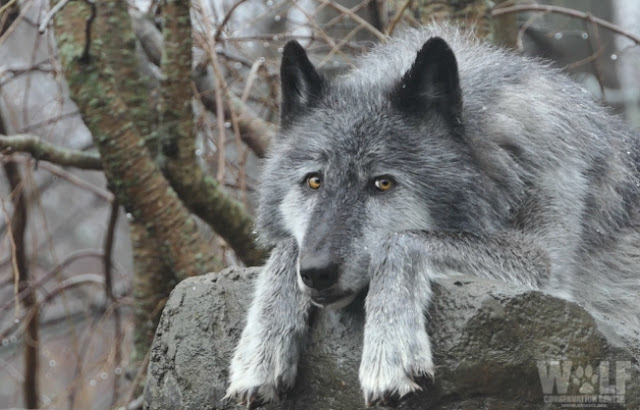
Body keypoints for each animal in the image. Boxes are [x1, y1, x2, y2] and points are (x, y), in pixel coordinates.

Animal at [225, 24, 640, 407]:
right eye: (314, 181)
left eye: (382, 184)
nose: (317, 272)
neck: (497, 157)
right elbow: (286, 248)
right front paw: (258, 351)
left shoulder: (544, 264)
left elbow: (401, 241)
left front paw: (388, 354)